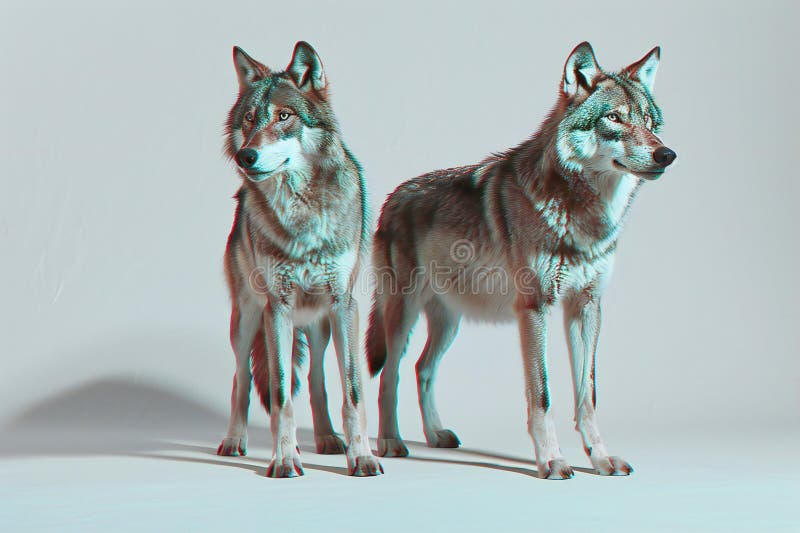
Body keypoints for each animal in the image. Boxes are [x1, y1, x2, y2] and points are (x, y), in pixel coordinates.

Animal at [216, 42, 382, 477]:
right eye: (249, 119)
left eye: (284, 116)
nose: (246, 156)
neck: (302, 214)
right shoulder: (278, 308)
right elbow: (280, 395)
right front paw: (284, 459)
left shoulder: (344, 306)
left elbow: (352, 393)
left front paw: (361, 456)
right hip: (247, 320)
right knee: (241, 380)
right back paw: (235, 440)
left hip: (320, 324)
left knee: (318, 381)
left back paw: (326, 439)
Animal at [366, 42, 676, 479]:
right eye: (614, 118)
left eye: (648, 121)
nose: (667, 154)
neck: (584, 216)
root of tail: (393, 198)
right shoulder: (534, 309)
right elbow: (542, 395)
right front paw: (551, 460)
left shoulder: (587, 307)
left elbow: (588, 395)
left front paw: (600, 458)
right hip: (402, 316)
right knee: (388, 375)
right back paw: (391, 442)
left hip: (449, 322)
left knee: (422, 369)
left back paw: (436, 434)